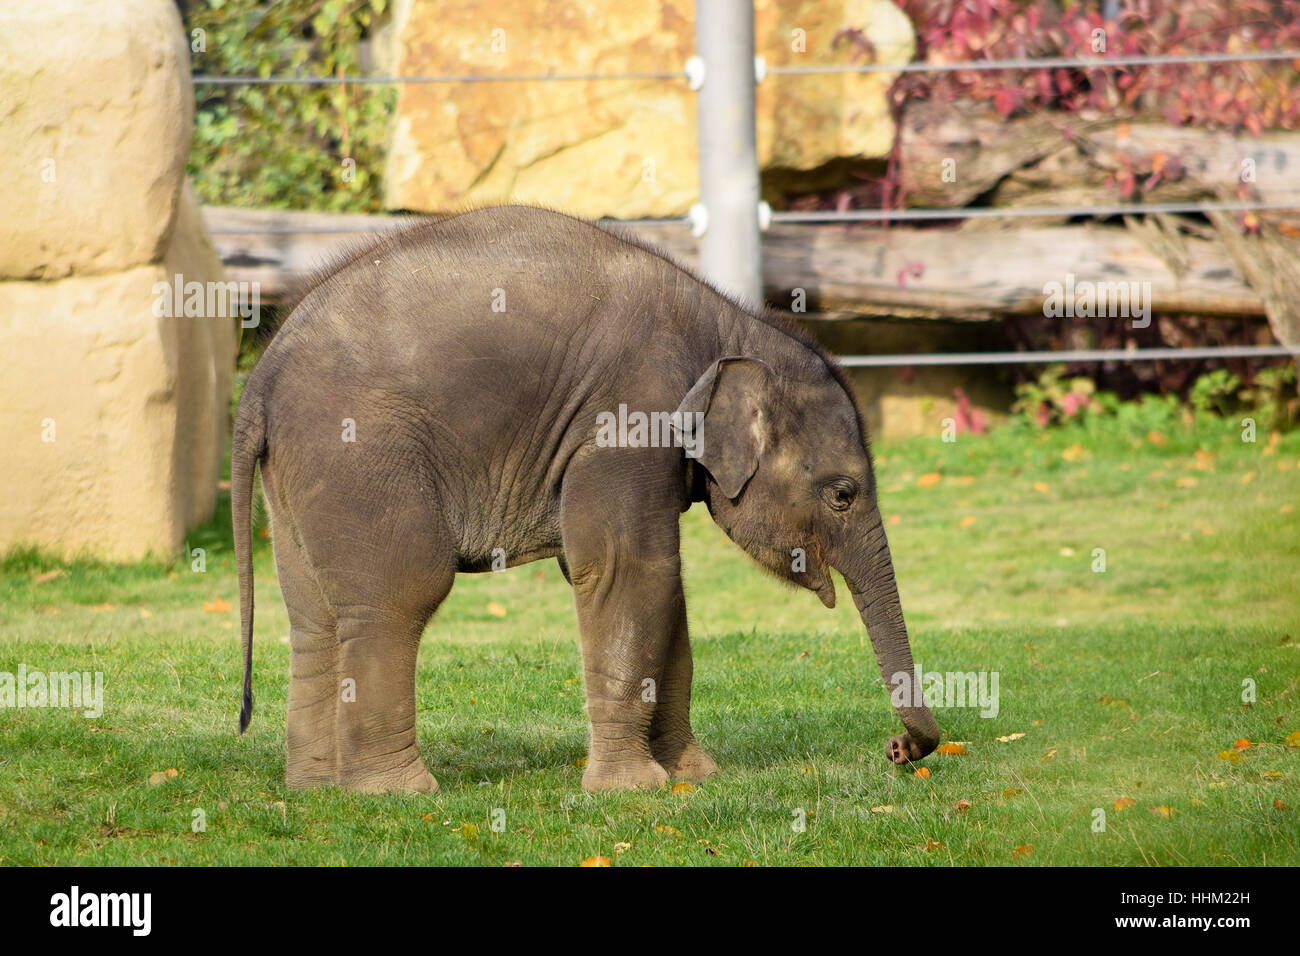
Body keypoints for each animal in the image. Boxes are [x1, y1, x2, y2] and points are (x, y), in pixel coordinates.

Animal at [231, 204, 940, 793]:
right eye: (843, 494)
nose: (898, 749)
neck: (728, 325)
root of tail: (260, 380)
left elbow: (664, 589)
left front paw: (694, 775)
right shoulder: (627, 418)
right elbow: (628, 570)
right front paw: (633, 790)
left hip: (297, 479)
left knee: (314, 616)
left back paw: (315, 788)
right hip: (358, 454)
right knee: (400, 593)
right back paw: (398, 793)